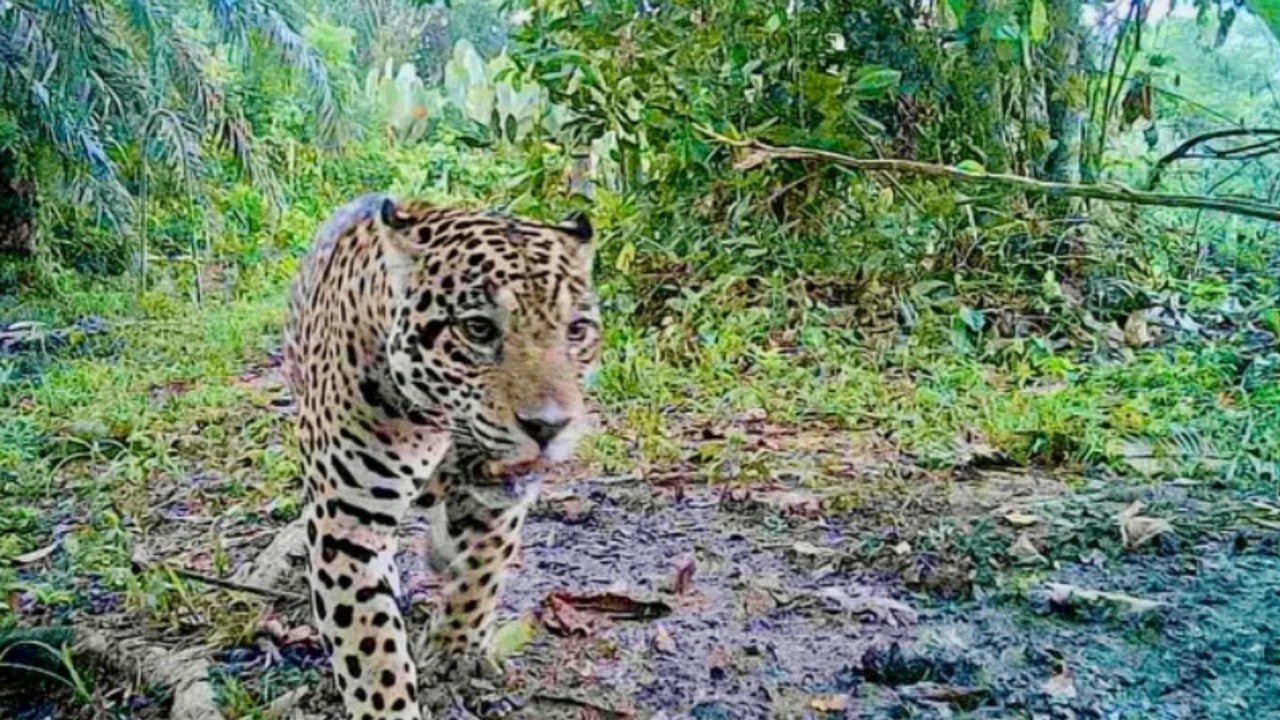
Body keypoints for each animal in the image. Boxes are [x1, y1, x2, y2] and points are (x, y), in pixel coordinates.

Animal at [282, 193, 600, 719]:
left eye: (576, 330)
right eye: (477, 329)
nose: (549, 427)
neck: (438, 427)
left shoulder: (501, 503)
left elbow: (484, 570)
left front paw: (454, 650)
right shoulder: (346, 524)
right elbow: (371, 651)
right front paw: (391, 706)